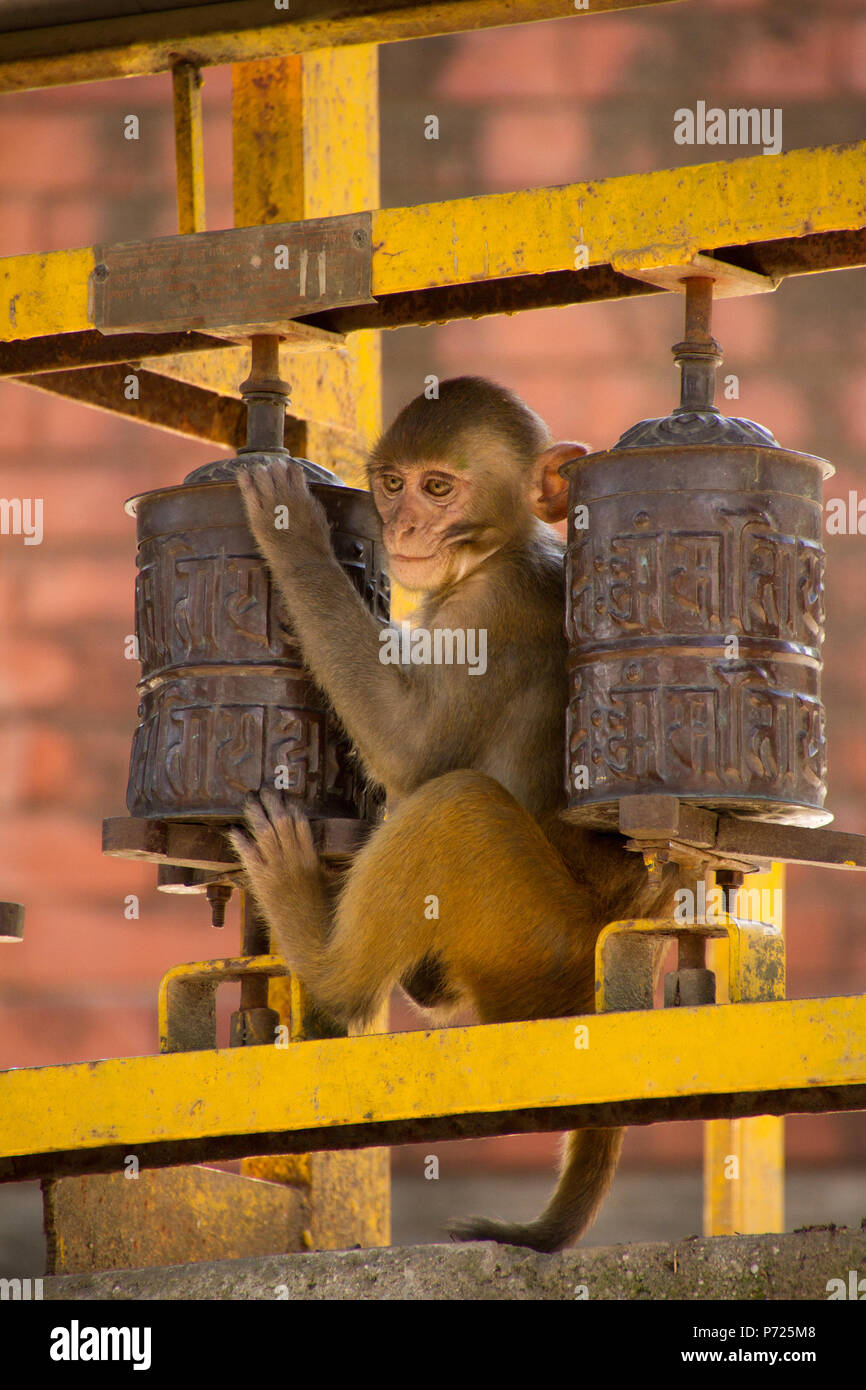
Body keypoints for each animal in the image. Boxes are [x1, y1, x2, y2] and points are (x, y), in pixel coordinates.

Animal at [230, 376, 683, 1253]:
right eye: (393, 483)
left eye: (440, 489)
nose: (404, 527)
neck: (495, 551)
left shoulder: (486, 612)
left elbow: (410, 750)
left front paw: (293, 538)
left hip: (530, 941)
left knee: (456, 805)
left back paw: (322, 957)